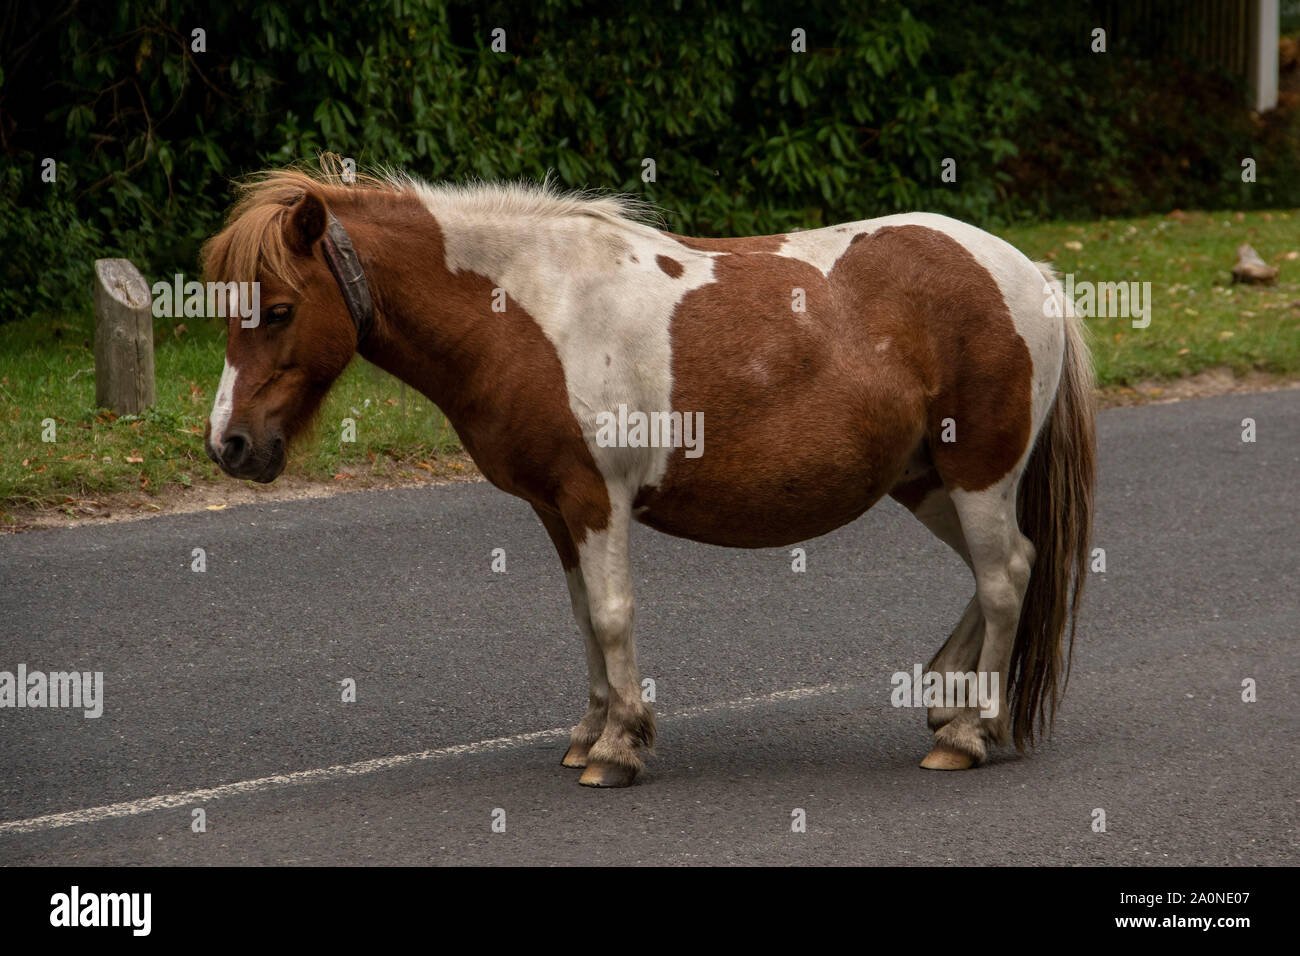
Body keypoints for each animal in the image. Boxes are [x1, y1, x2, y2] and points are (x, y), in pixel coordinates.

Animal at [202, 162, 1095, 787]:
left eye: (278, 310)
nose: (229, 445)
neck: (534, 309)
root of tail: (1030, 273)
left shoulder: (596, 499)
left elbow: (612, 615)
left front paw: (620, 747)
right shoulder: (556, 509)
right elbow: (581, 618)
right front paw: (588, 733)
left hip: (977, 473)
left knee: (1006, 577)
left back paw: (972, 732)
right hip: (927, 482)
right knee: (999, 570)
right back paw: (947, 702)